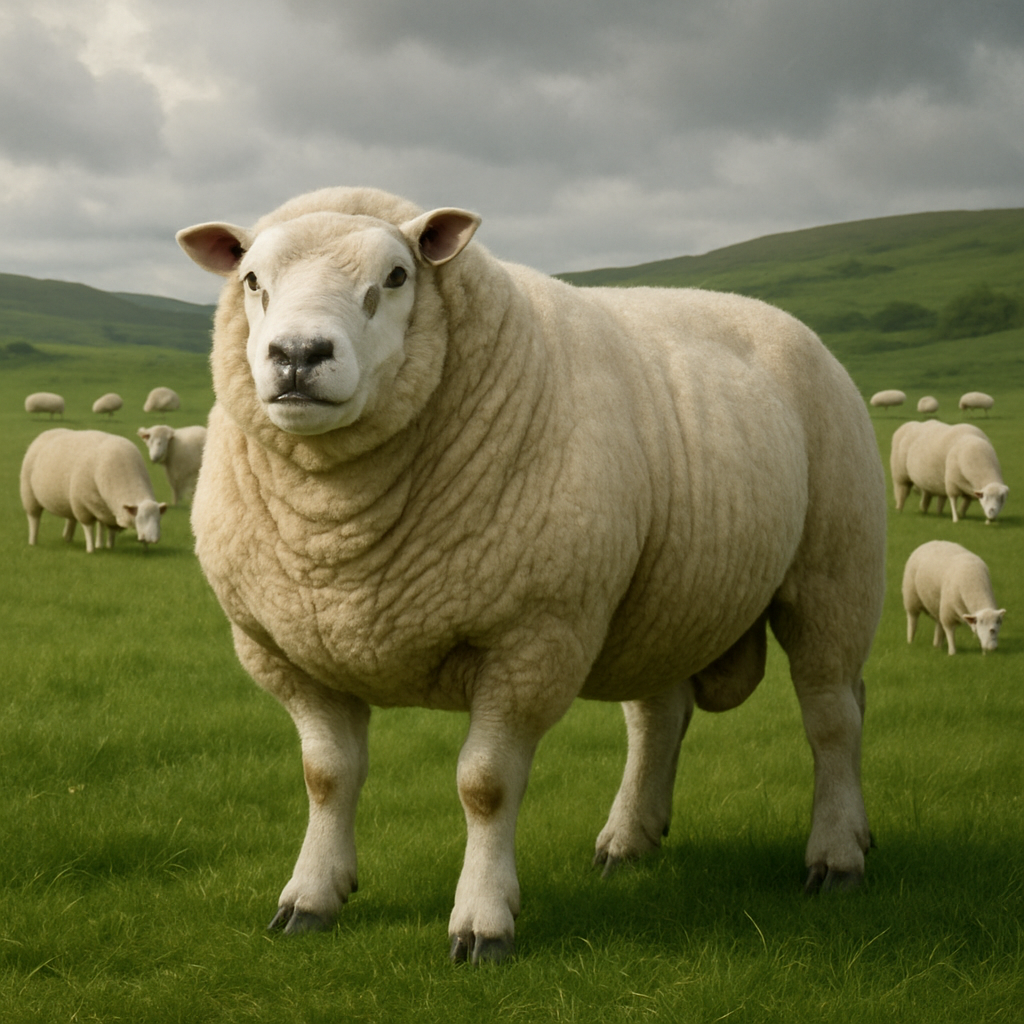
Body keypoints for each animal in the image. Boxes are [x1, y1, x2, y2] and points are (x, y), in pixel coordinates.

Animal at [20, 428, 167, 552]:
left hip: (70, 499)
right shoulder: (82, 505)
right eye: (140, 518)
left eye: (159, 519)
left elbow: (109, 529)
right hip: (29, 494)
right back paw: (33, 541)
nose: (153, 540)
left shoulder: (106, 508)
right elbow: (88, 528)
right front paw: (91, 549)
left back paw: (68, 538)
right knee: (34, 519)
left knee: (71, 518)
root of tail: (47, 432)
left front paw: (108, 546)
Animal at [176, 185, 887, 963]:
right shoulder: (284, 650)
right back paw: (629, 839)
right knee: (659, 718)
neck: (339, 528)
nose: (299, 354)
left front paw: (481, 921)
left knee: (832, 716)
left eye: (396, 276)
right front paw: (309, 898)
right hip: (659, 602)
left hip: (835, 568)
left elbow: (484, 785)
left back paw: (837, 855)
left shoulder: (531, 638)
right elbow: (326, 778)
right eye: (251, 279)